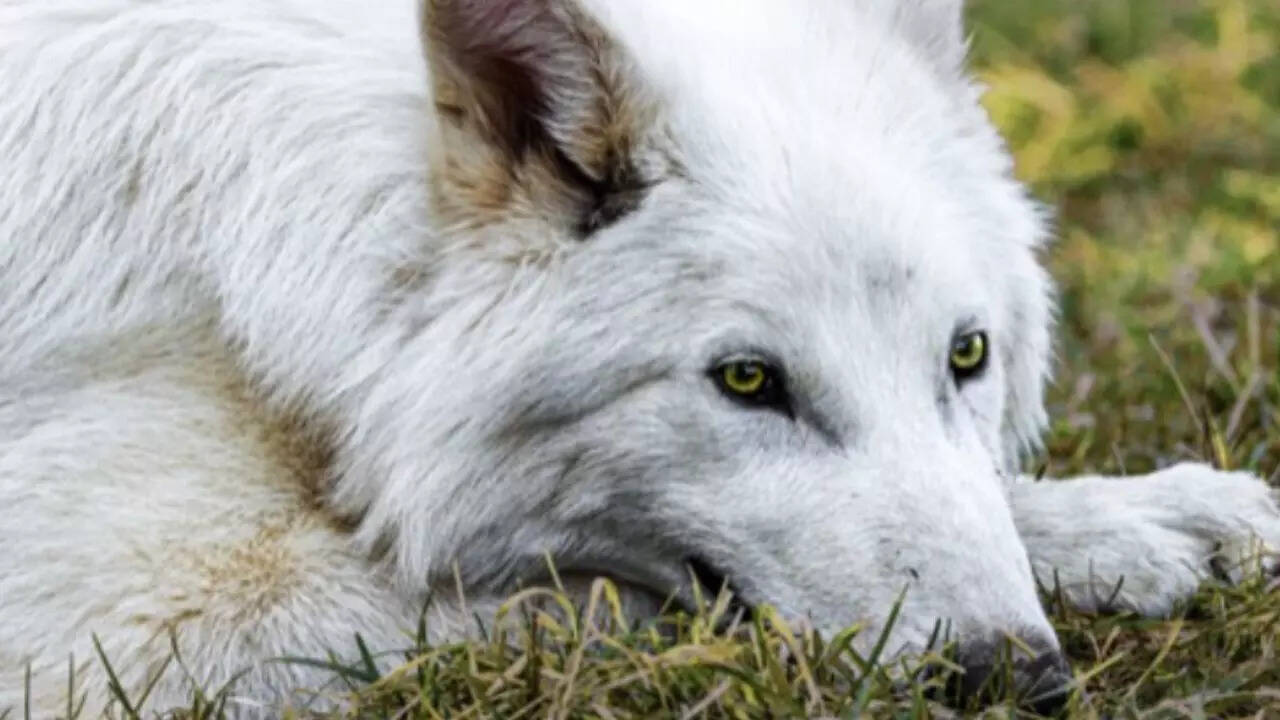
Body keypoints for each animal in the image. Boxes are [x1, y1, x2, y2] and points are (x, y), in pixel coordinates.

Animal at [1, 0, 1278, 715]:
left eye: (966, 356)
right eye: (747, 381)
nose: (1009, 679)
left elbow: (987, 501)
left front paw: (1152, 523)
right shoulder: (115, 634)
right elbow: (611, 598)